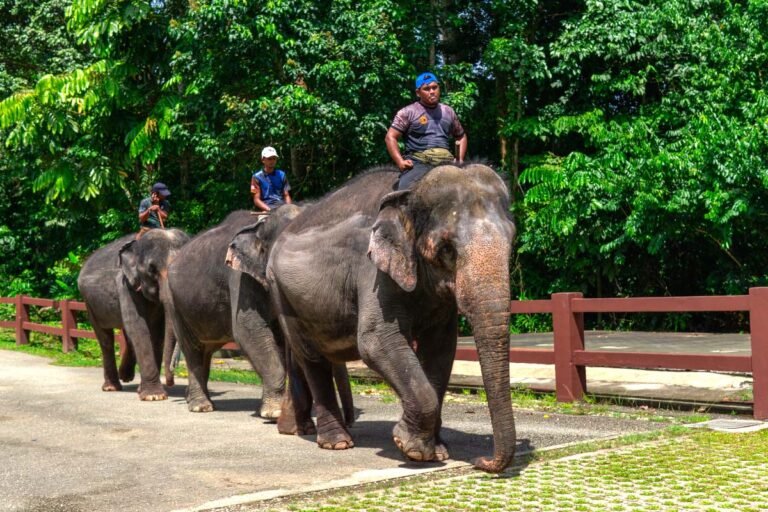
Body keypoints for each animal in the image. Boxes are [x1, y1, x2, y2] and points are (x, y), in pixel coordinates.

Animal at [77, 228, 190, 400]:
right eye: (152, 269)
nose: (171, 382)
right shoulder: (125, 285)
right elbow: (138, 327)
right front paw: (154, 396)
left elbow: (157, 333)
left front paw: (146, 391)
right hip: (89, 303)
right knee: (105, 339)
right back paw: (112, 387)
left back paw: (126, 377)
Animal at [267, 164, 517, 473]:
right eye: (446, 249)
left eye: (511, 241)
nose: (482, 461)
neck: (411, 193)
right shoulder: (372, 271)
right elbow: (376, 341)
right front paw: (411, 448)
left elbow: (441, 349)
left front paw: (436, 451)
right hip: (281, 293)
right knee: (312, 358)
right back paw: (337, 442)